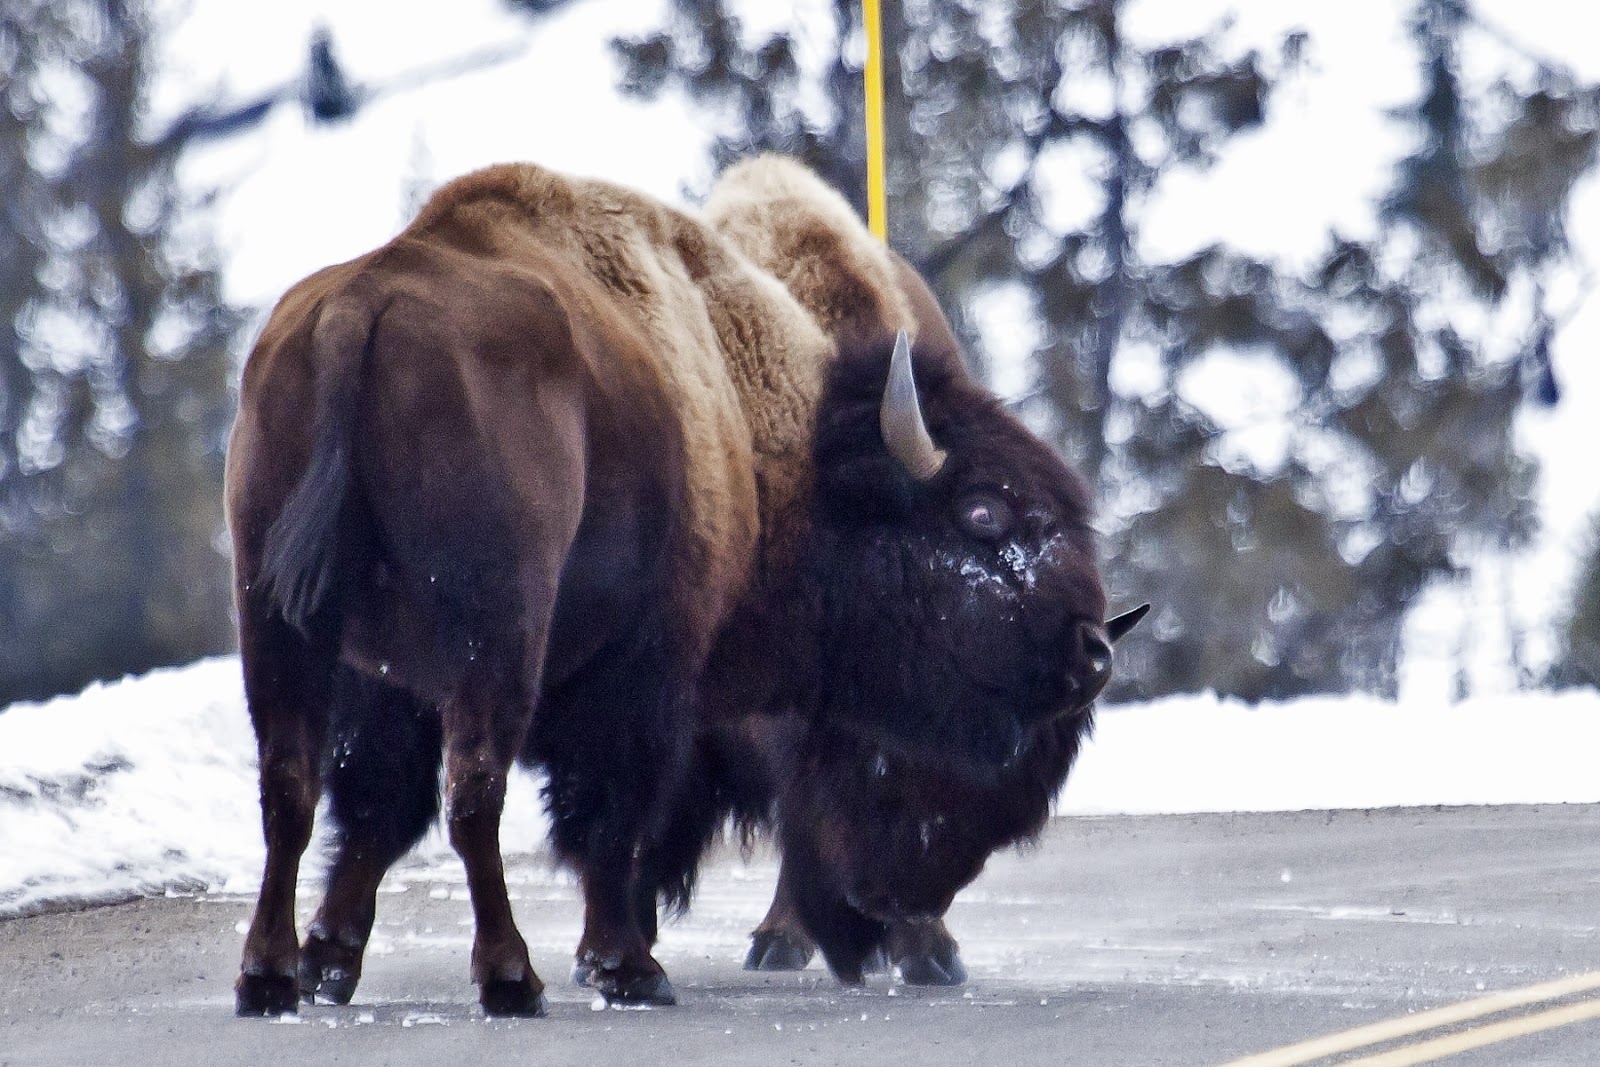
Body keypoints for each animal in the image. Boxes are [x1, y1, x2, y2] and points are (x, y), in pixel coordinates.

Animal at [227, 156, 1141, 1017]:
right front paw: (628, 967)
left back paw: (270, 975)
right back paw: (513, 977)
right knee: (474, 793)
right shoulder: (644, 671)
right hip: (497, 637)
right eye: (983, 513)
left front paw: (331, 959)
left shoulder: (395, 683)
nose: (1091, 648)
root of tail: (361, 309)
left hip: (277, 622)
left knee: (292, 784)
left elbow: (380, 809)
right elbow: (609, 816)